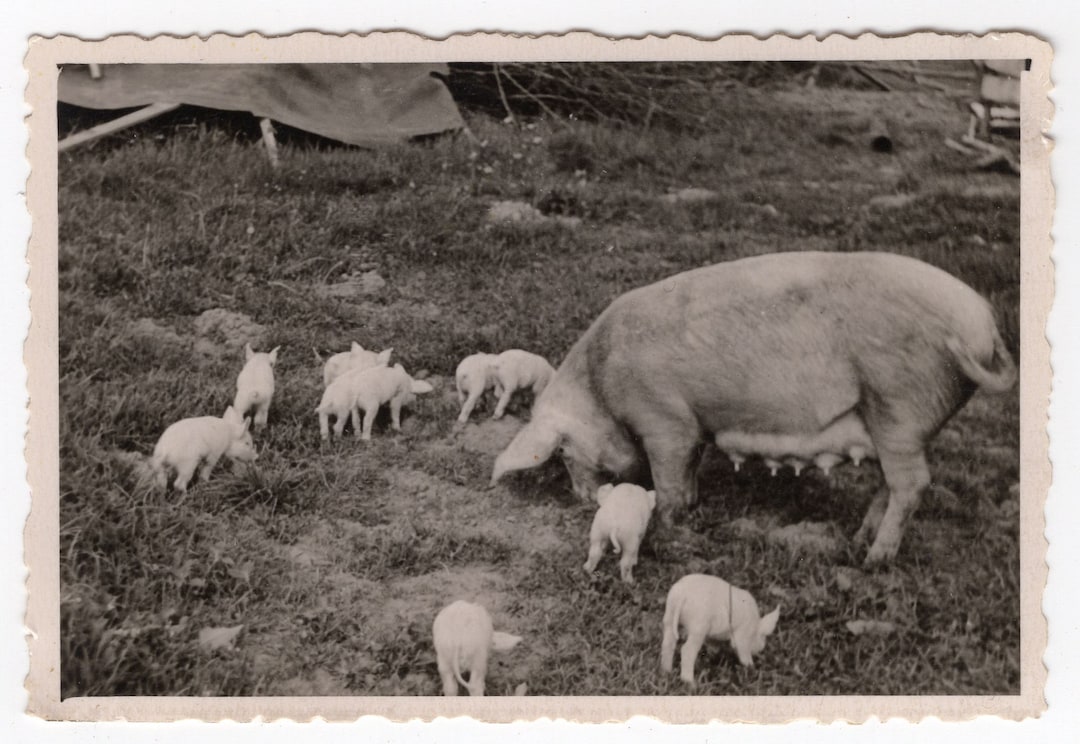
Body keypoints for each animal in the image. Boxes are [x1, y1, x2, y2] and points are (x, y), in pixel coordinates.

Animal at [490, 251, 1017, 565]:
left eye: (562, 452)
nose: (582, 498)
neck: (602, 385)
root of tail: (984, 325)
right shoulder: (694, 427)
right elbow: (690, 470)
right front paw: (695, 505)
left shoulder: (665, 420)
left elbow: (668, 477)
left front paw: (672, 521)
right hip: (897, 420)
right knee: (892, 484)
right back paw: (857, 541)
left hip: (901, 402)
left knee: (913, 484)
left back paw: (875, 560)